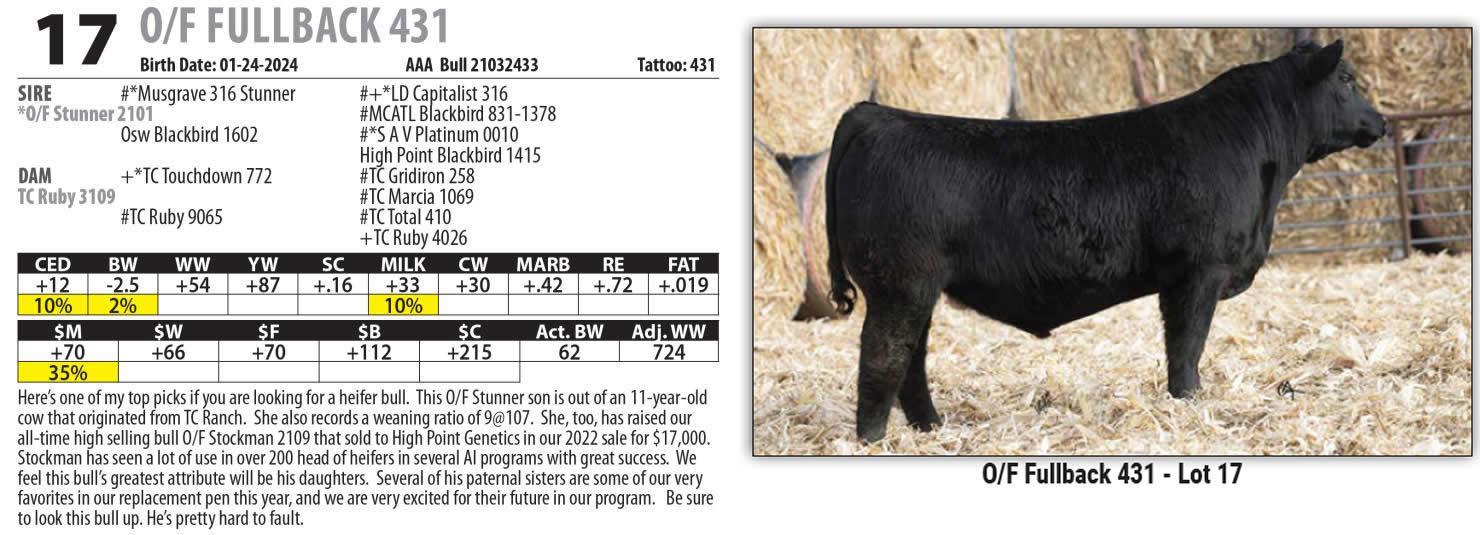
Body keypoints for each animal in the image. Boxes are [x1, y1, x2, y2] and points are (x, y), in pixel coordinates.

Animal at [823, 40, 1387, 442]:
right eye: (1347, 79)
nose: (1381, 121)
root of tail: (876, 114)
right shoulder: (1198, 270)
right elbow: (1186, 346)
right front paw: (1189, 403)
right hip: (901, 286)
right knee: (883, 358)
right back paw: (872, 440)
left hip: (917, 290)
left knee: (911, 360)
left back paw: (932, 428)